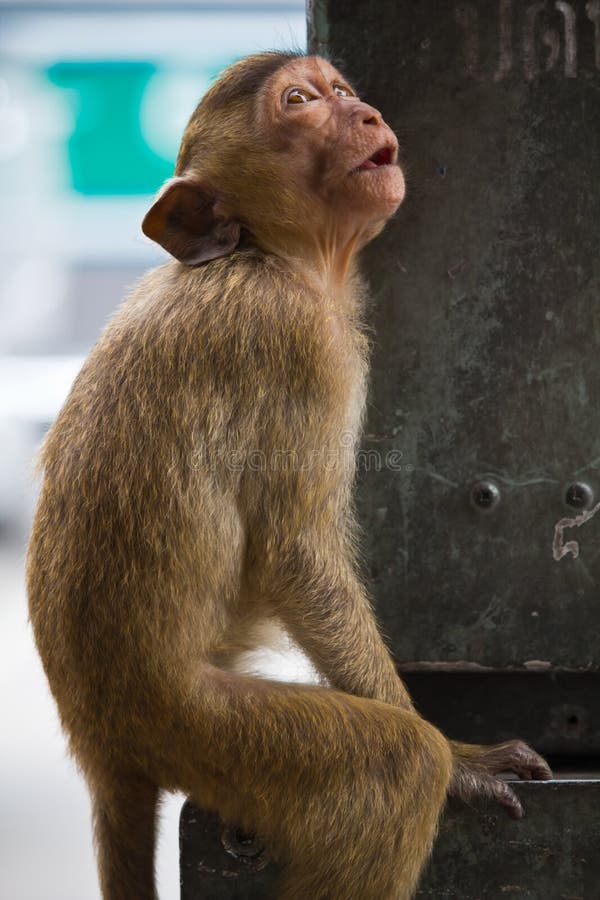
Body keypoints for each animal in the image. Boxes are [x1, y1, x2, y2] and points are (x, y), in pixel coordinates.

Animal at [27, 51, 552, 900]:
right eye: (301, 102)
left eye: (339, 91)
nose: (368, 115)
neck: (261, 255)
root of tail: (96, 741)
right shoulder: (299, 344)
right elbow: (295, 555)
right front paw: (464, 764)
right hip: (198, 727)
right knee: (393, 767)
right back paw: (422, 760)